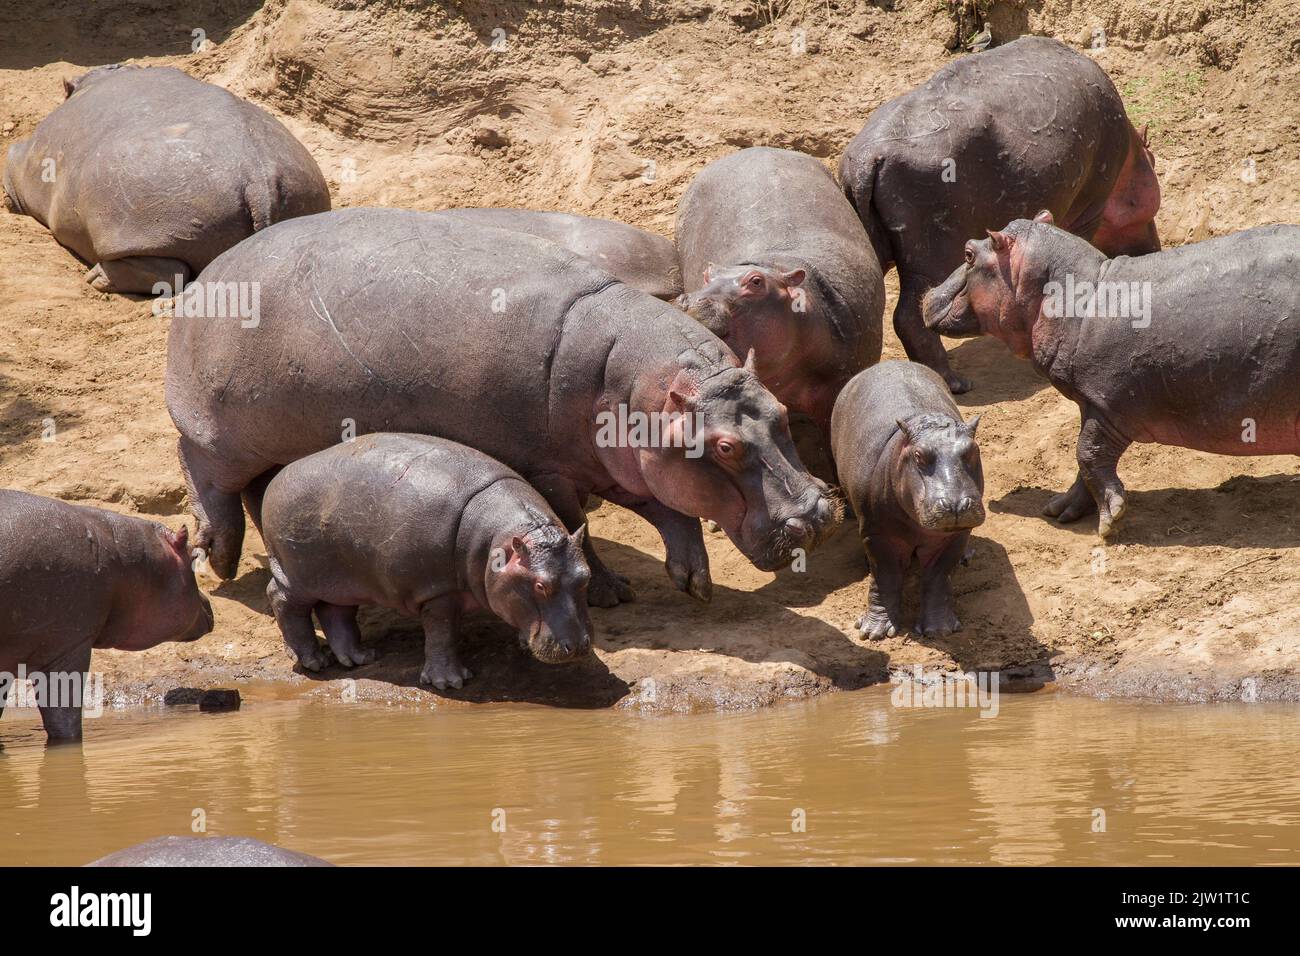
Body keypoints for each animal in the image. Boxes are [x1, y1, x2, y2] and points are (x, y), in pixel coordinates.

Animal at [260, 433, 593, 689]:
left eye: (585, 577)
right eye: (540, 585)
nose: (578, 646)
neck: (500, 540)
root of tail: (275, 479)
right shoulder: (436, 590)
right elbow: (441, 632)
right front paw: (450, 683)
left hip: (342, 578)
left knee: (335, 611)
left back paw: (359, 658)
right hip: (297, 574)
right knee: (282, 600)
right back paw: (313, 661)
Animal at [831, 361, 984, 638]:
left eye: (972, 450)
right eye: (918, 455)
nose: (956, 505)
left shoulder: (955, 535)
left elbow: (939, 576)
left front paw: (939, 630)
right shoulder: (877, 533)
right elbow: (885, 576)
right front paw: (873, 632)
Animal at [839, 36, 1161, 392]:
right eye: (1154, 165)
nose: (1156, 248)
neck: (1131, 153)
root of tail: (868, 157)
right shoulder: (1090, 210)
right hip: (927, 256)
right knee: (910, 315)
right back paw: (955, 382)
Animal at [923, 212, 1300, 538]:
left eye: (968, 253)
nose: (926, 294)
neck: (1075, 291)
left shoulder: (1110, 404)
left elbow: (1087, 454)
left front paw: (1110, 521)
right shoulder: (1089, 402)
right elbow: (1081, 461)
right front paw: (1060, 510)